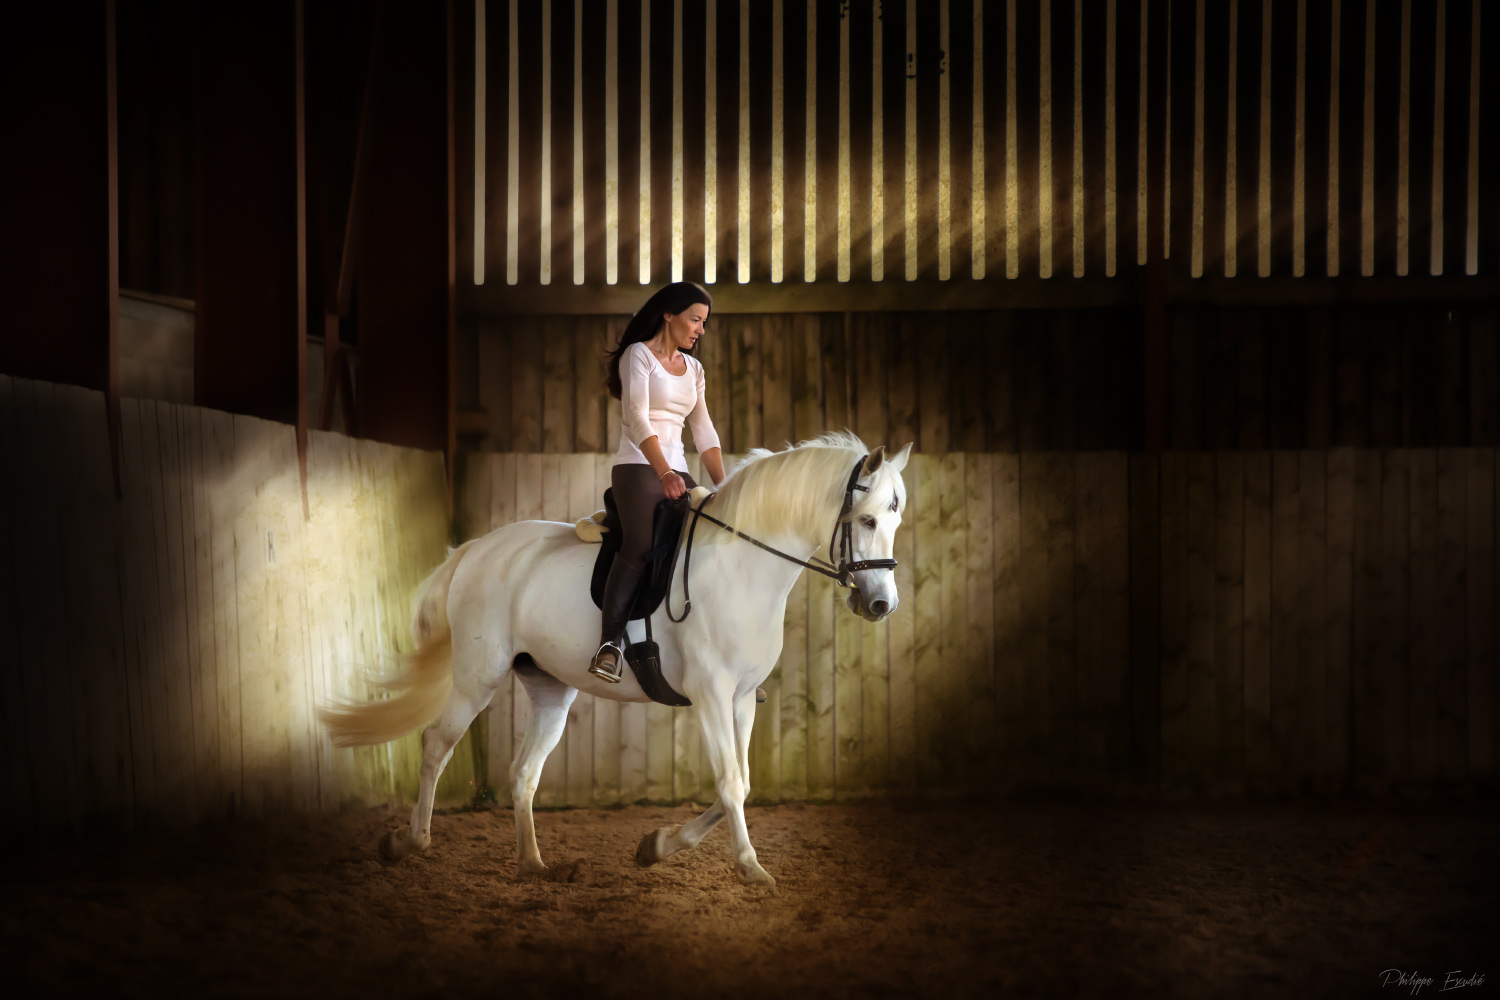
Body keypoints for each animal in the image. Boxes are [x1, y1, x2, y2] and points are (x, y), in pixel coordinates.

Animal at [319, 431, 910, 886]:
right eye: (865, 520)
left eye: (894, 521)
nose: (881, 605)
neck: (743, 567)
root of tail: (478, 549)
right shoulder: (711, 695)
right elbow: (729, 782)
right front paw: (750, 868)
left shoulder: (741, 699)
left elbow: (740, 784)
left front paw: (656, 846)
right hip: (476, 677)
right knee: (436, 746)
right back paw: (408, 843)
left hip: (550, 689)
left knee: (524, 772)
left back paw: (532, 864)